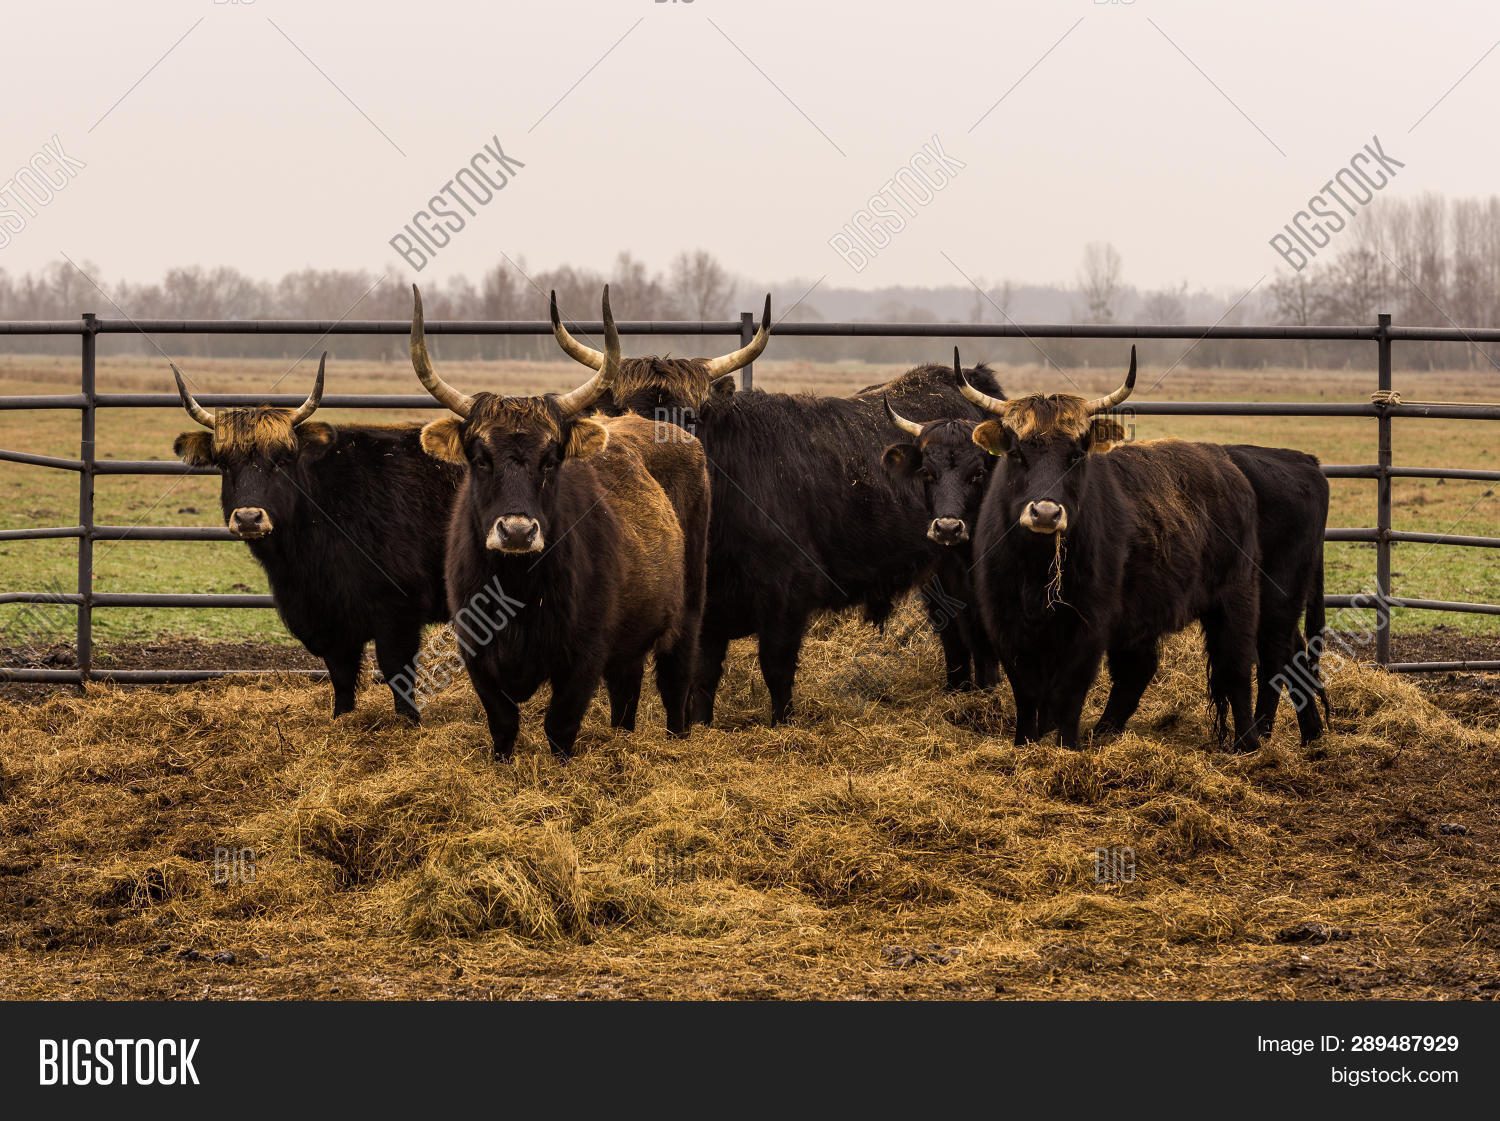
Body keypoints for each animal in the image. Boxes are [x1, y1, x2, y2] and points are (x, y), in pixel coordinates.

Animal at [171, 355, 460, 720]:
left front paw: (408, 722)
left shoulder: (399, 612)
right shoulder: (329, 620)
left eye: (281, 460)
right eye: (224, 464)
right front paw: (342, 719)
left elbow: (397, 673)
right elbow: (341, 678)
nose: (248, 517)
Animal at [409, 285, 709, 758]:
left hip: (688, 612)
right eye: (479, 458)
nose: (516, 531)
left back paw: (677, 741)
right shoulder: (477, 655)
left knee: (674, 683)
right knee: (626, 691)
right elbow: (503, 724)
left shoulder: (583, 657)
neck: (518, 586)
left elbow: (560, 727)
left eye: (551, 459)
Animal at [880, 390, 1001, 691]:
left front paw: (989, 691)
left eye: (978, 473)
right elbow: (955, 643)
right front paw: (958, 688)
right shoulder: (938, 595)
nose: (947, 529)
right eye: (927, 472)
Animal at [962, 347, 1263, 751]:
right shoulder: (1006, 622)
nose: (1046, 512)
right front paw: (1027, 743)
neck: (1037, 568)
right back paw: (1104, 732)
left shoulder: (1089, 626)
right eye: (1017, 454)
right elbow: (1028, 692)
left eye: (1075, 455)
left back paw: (1247, 744)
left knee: (1236, 667)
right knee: (1138, 670)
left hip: (1236, 598)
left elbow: (1068, 692)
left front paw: (1065, 746)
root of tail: (1226, 464)